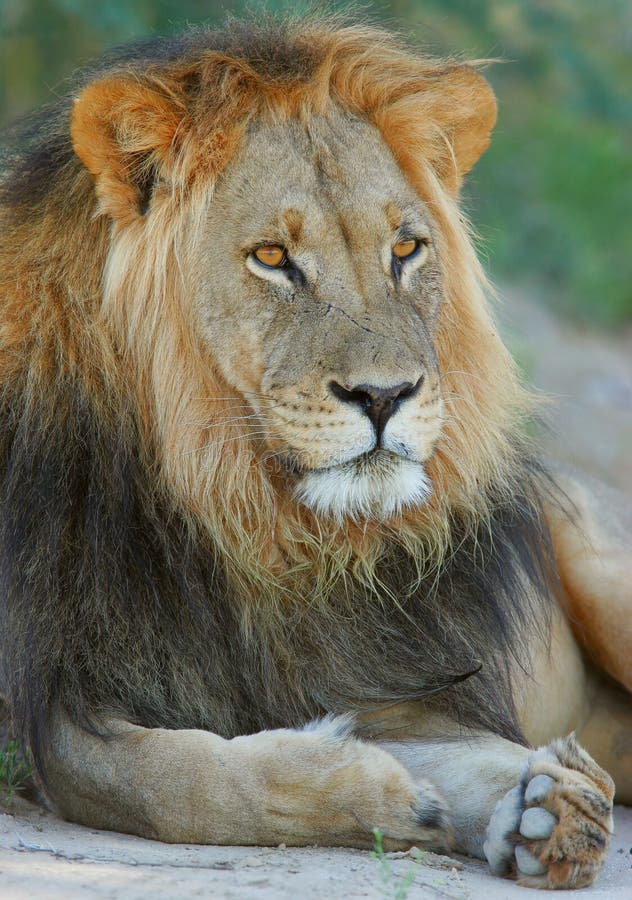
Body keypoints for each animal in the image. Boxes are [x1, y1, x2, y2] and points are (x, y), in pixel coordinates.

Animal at [0, 15, 630, 891]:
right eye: (272, 258)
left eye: (406, 249)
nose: (384, 395)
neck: (249, 522)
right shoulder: (60, 695)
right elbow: (176, 784)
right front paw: (414, 795)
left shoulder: (386, 678)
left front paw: (545, 802)